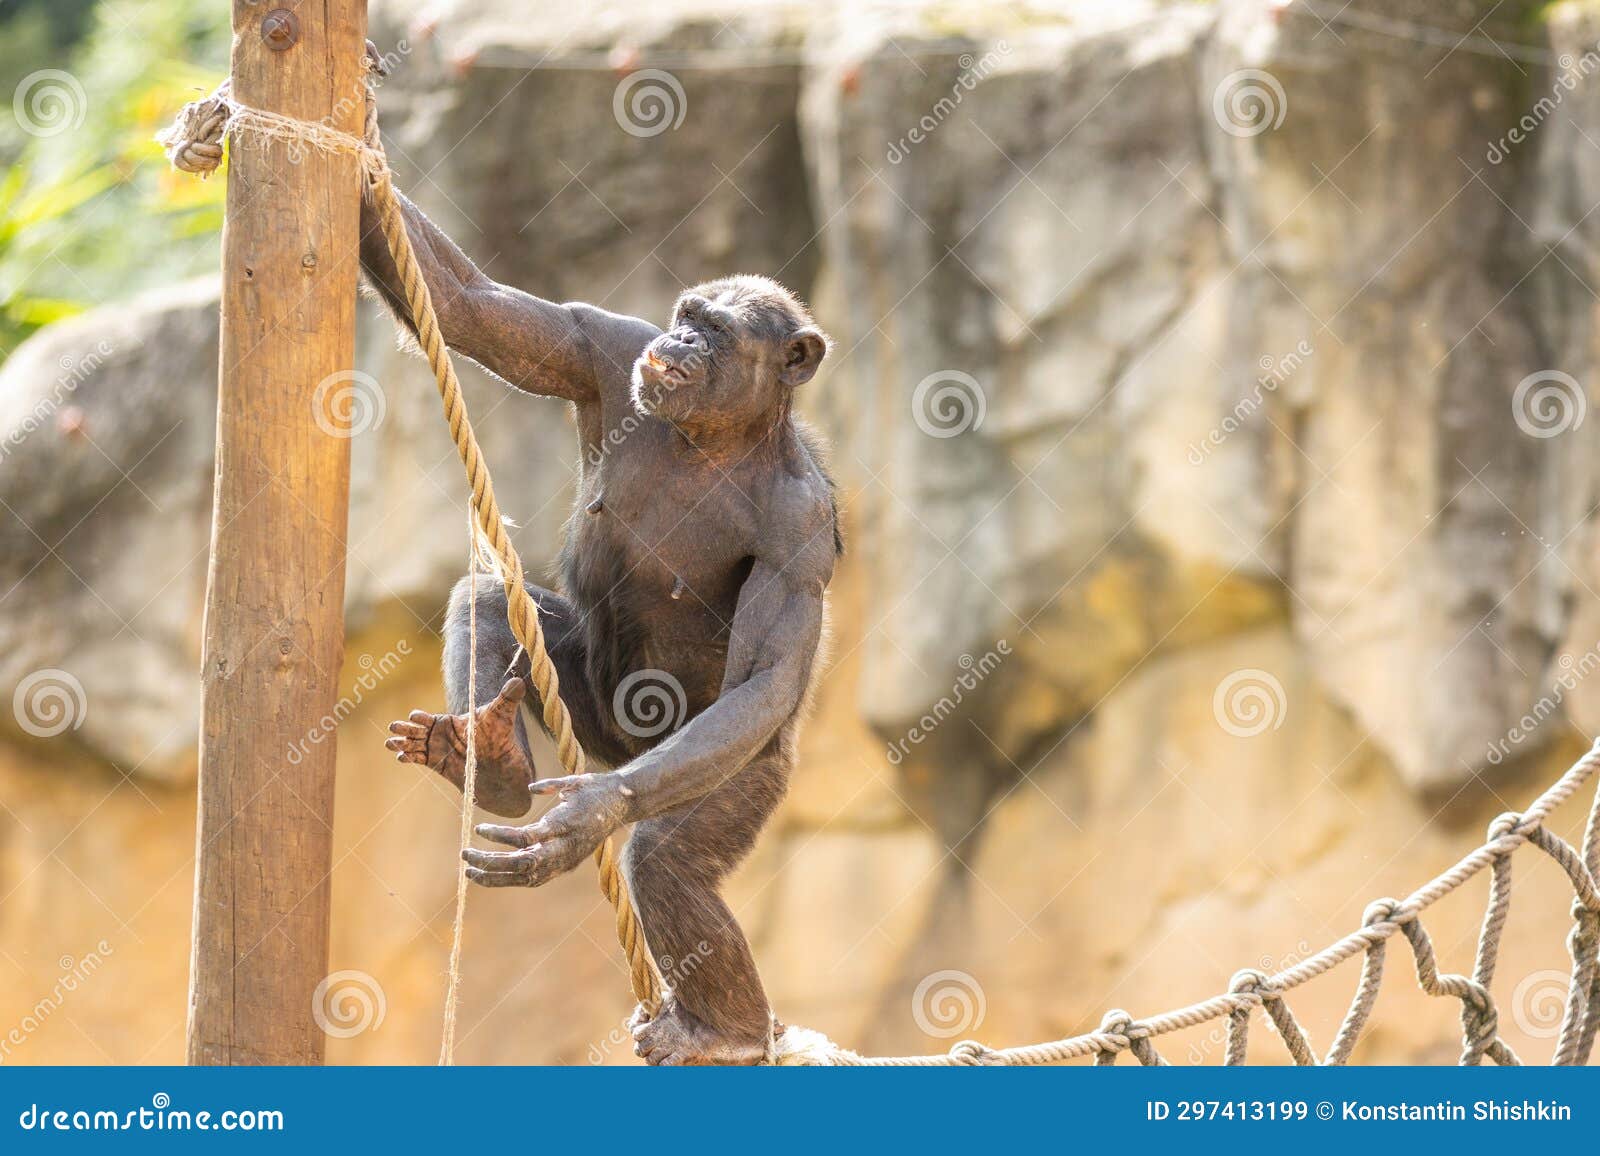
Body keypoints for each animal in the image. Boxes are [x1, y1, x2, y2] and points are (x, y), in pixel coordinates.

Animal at [358, 184, 839, 1065]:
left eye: (717, 332)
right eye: (685, 315)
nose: (682, 338)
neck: (716, 435)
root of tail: (629, 746)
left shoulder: (803, 525)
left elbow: (765, 672)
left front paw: (588, 818)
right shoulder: (606, 346)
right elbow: (471, 308)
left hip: (731, 763)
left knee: (669, 855)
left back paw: (724, 1032)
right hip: (589, 708)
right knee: (486, 601)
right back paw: (490, 755)